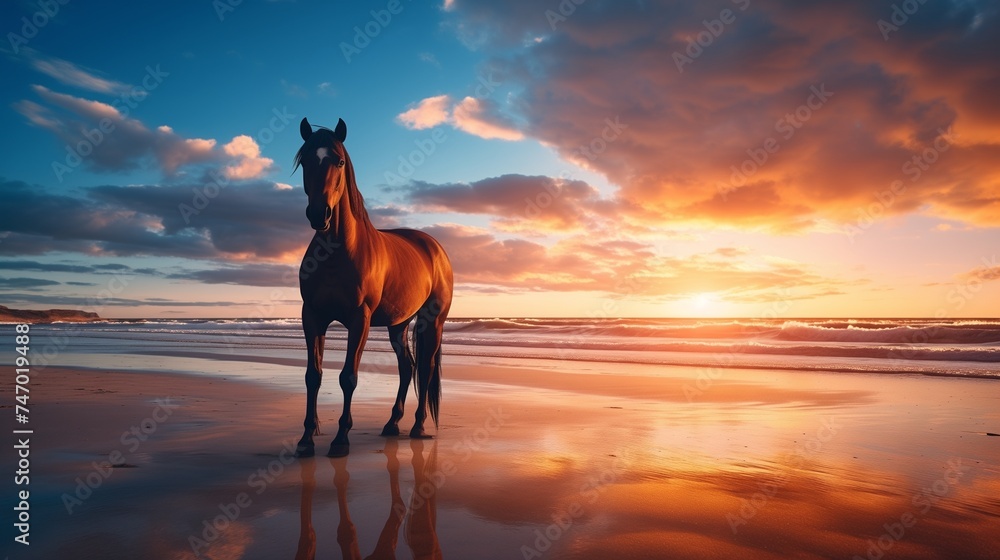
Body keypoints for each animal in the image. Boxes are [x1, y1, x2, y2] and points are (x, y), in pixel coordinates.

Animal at [293, 117, 453, 458]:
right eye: (305, 161)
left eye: (339, 161)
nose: (319, 214)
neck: (337, 253)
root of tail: (434, 247)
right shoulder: (312, 316)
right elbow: (313, 376)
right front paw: (306, 439)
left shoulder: (359, 319)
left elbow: (348, 377)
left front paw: (341, 439)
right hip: (398, 324)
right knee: (407, 367)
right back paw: (392, 423)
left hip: (432, 322)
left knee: (425, 368)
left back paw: (418, 427)